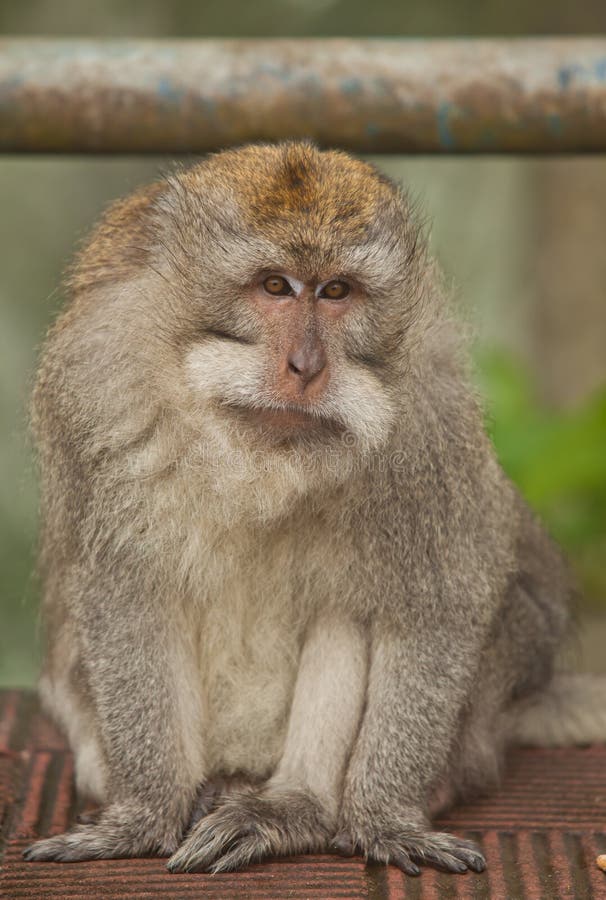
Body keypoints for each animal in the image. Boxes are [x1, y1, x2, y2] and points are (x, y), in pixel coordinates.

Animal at [23, 141, 606, 876]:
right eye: (275, 287)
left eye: (336, 292)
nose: (305, 365)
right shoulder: (96, 384)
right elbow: (126, 593)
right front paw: (144, 815)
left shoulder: (430, 414)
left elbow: (440, 599)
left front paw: (384, 817)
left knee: (349, 607)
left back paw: (292, 810)